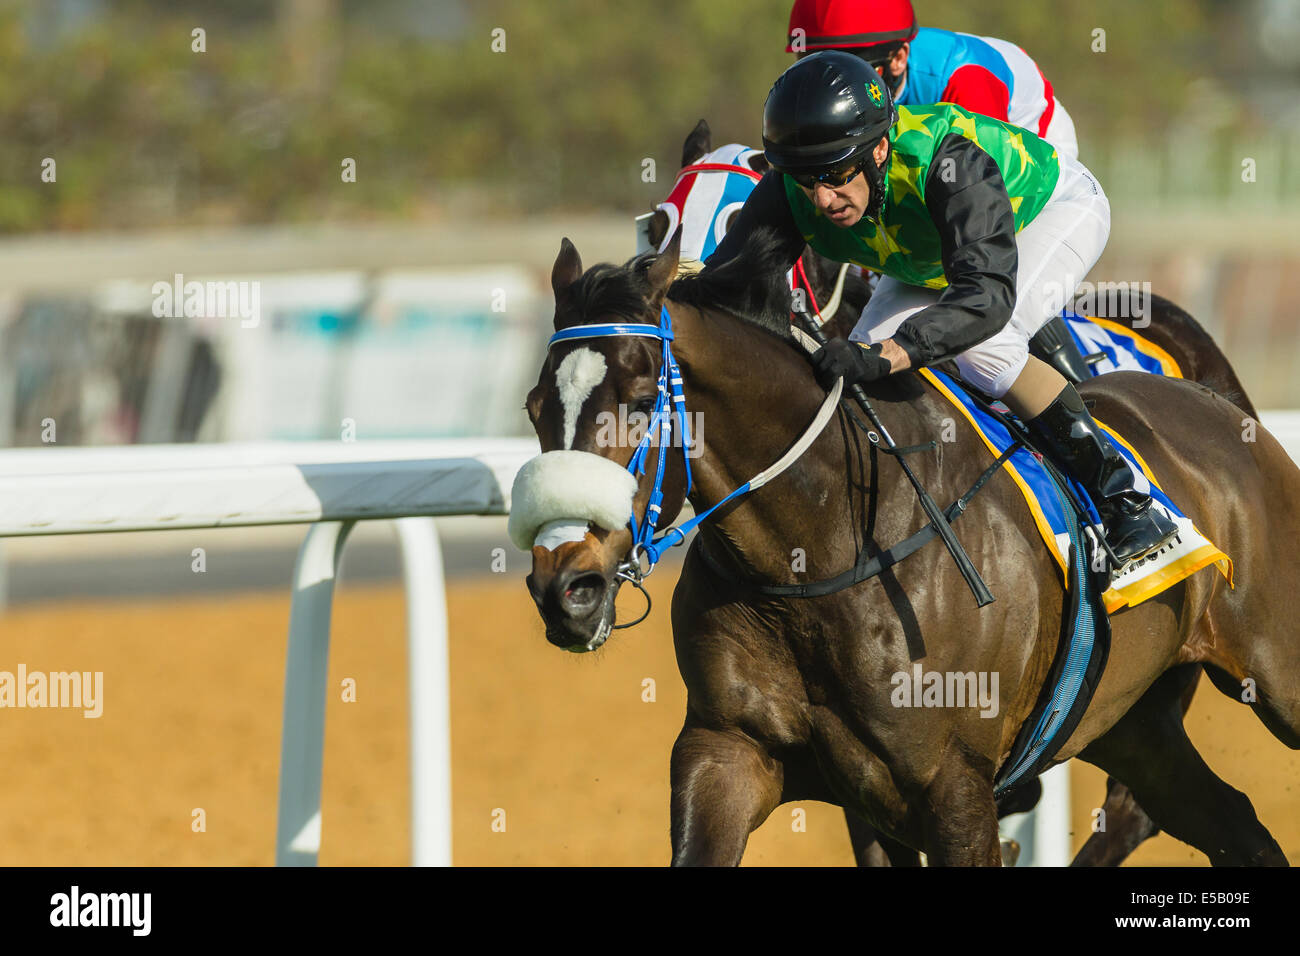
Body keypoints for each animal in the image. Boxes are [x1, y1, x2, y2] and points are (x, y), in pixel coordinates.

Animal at [519, 226, 1299, 866]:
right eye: (534, 407)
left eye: (639, 399)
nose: (566, 589)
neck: (816, 552)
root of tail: (1228, 408)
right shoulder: (729, 750)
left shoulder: (954, 787)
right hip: (1133, 720)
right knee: (1235, 827)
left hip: (1273, 674)